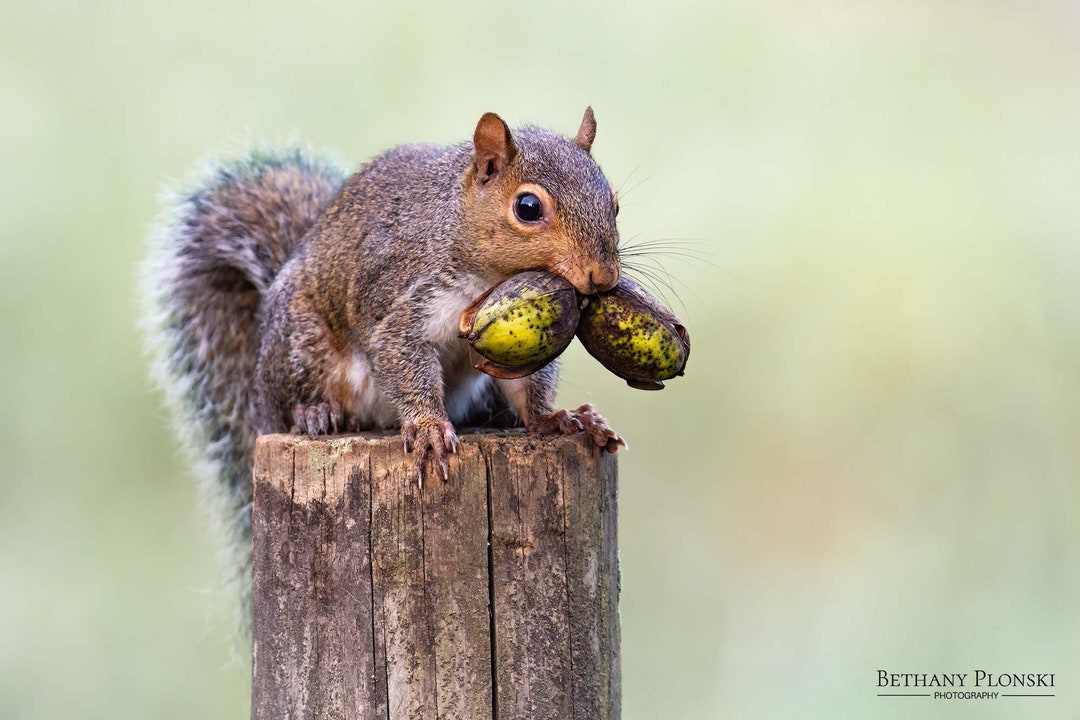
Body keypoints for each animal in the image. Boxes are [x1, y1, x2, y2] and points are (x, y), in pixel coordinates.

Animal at [143, 108, 626, 619]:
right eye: (528, 208)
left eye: (613, 204)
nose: (603, 277)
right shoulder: (402, 305)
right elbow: (401, 357)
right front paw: (430, 430)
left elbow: (529, 387)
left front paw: (557, 419)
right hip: (300, 345)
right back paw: (316, 413)